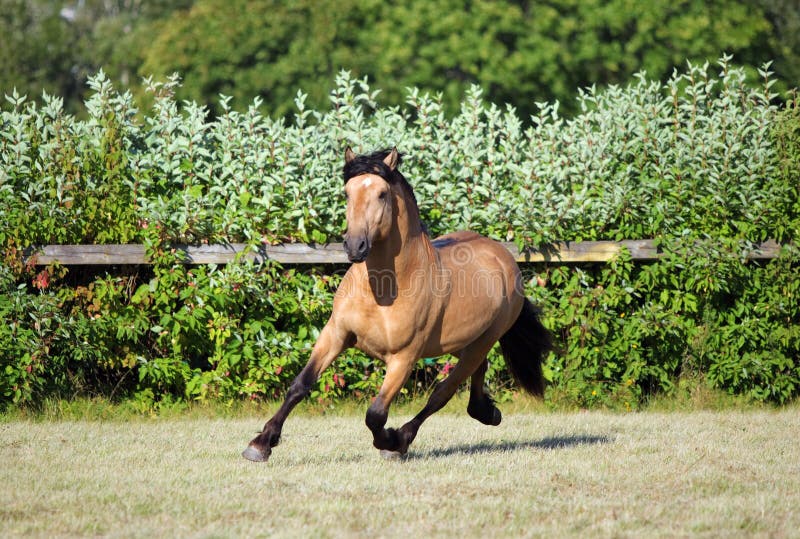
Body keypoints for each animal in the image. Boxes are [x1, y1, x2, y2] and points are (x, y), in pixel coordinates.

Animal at [242, 147, 552, 462]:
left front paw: (389, 441)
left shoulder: (403, 358)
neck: (382, 291)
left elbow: (376, 414)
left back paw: (406, 439)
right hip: (464, 342)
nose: (355, 246)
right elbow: (300, 385)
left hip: (483, 340)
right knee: (477, 371)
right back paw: (486, 412)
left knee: (443, 392)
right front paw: (260, 444)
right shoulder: (336, 334)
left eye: (382, 194)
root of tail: (503, 256)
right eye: (347, 193)